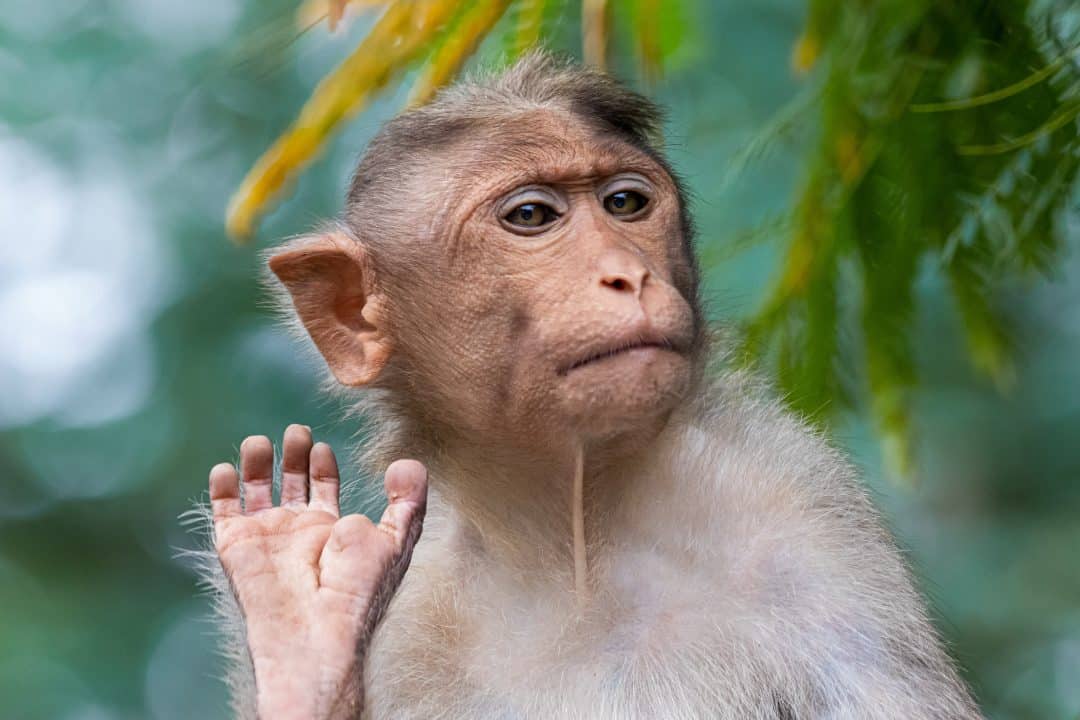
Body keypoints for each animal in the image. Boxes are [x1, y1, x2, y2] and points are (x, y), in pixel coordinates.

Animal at [197, 52, 981, 719]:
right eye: (531, 216)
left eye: (626, 204)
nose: (627, 274)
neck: (569, 539)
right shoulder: (412, 621)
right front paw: (300, 620)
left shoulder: (799, 514)